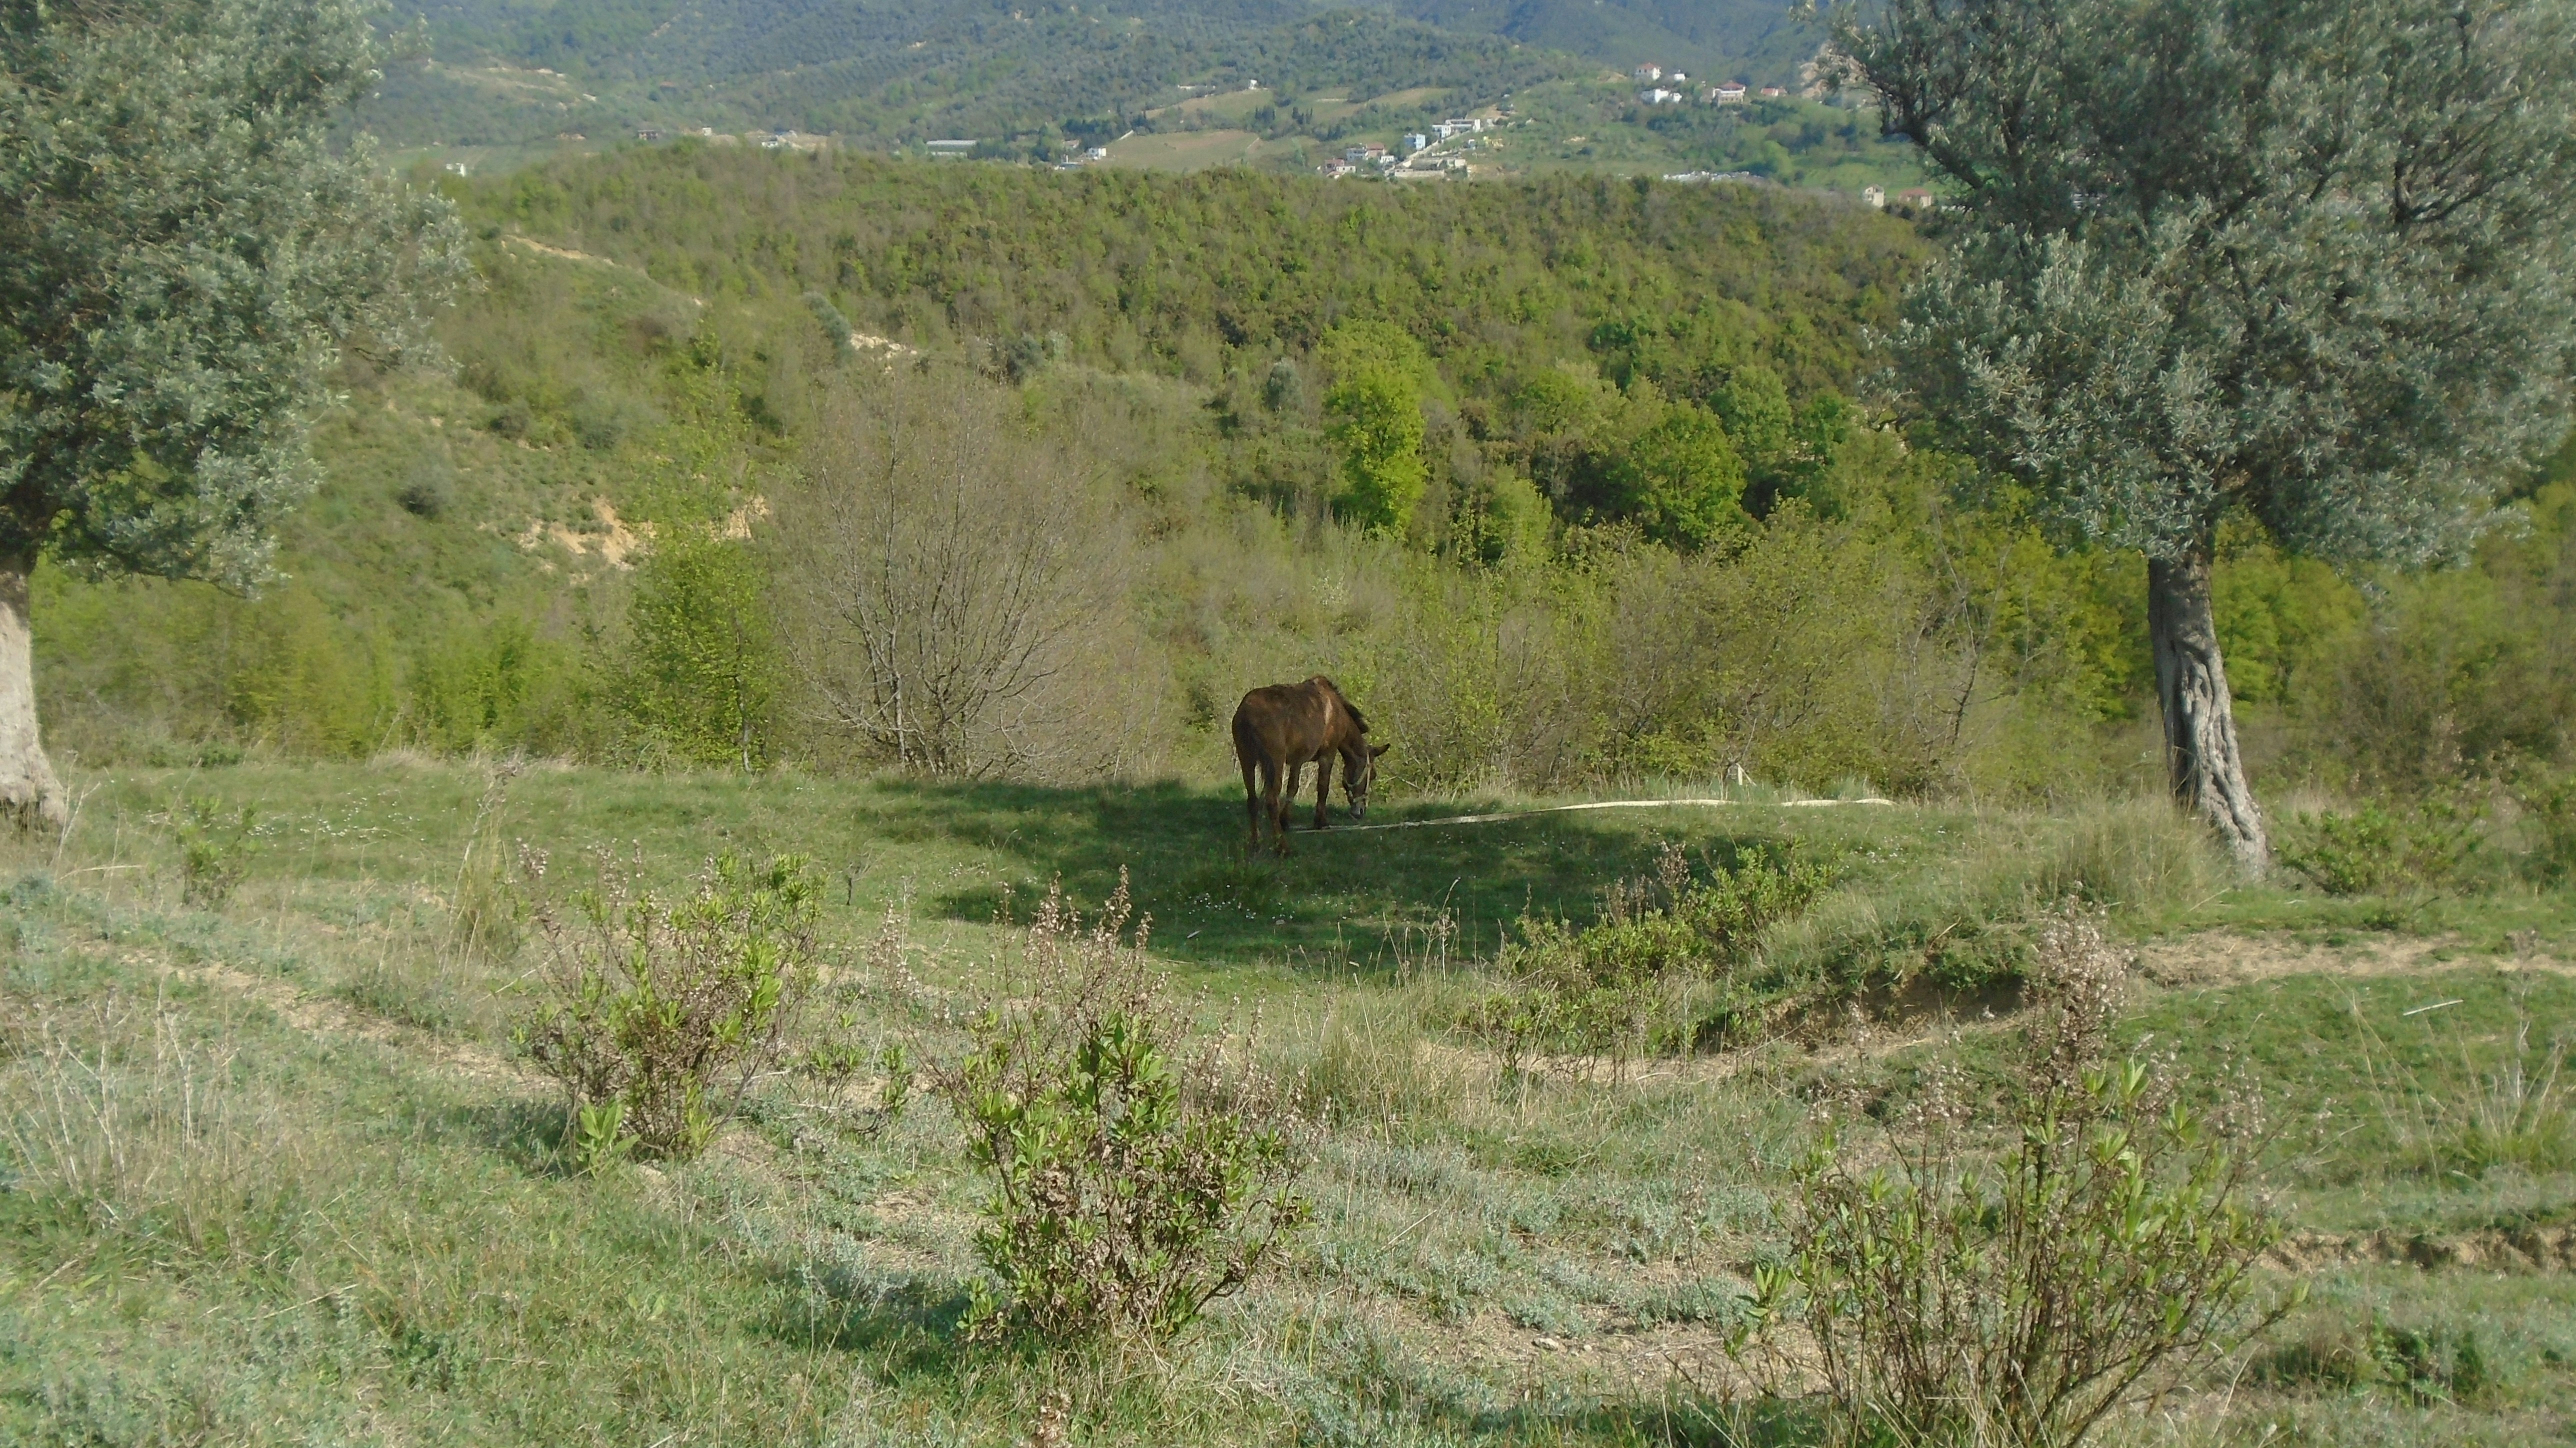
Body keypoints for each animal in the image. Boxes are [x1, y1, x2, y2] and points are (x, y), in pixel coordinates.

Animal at [1230, 677, 1389, 856]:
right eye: (1373, 774)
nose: (1361, 811)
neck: (1336, 710)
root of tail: (1247, 711)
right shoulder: (1328, 754)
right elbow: (1323, 788)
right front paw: (1321, 822)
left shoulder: (1297, 760)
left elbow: (1293, 788)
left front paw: (1285, 821)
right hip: (1275, 762)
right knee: (1271, 801)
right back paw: (1283, 848)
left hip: (1246, 760)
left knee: (1253, 801)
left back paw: (1255, 843)